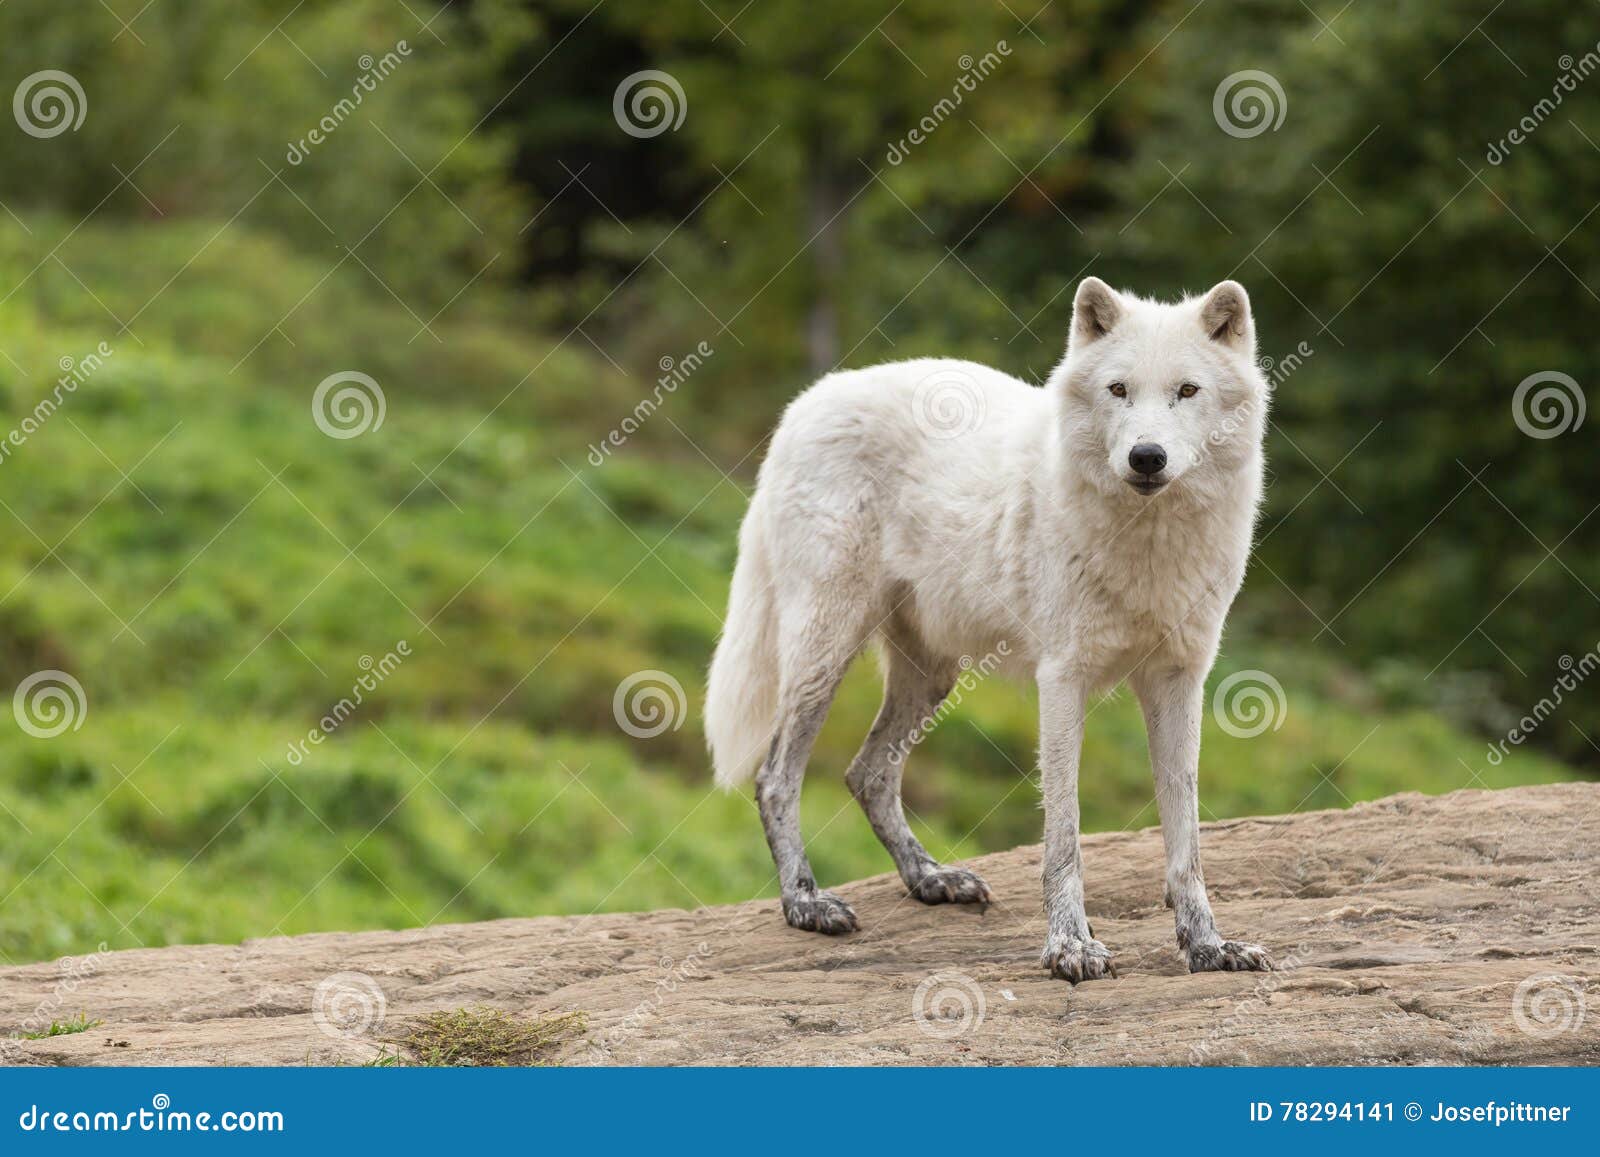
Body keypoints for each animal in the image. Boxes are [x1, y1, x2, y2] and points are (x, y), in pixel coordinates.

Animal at [705, 278, 1275, 981]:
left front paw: (1208, 946)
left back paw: (929, 877)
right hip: (824, 653)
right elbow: (1064, 834)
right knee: (775, 778)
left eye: (1187, 391)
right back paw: (807, 903)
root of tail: (807, 402)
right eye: (1118, 389)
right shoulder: (1062, 680)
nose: (1147, 457)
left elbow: (1185, 837)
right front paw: (1070, 947)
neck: (1148, 544)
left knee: (867, 772)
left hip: (929, 676)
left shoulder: (1179, 681)